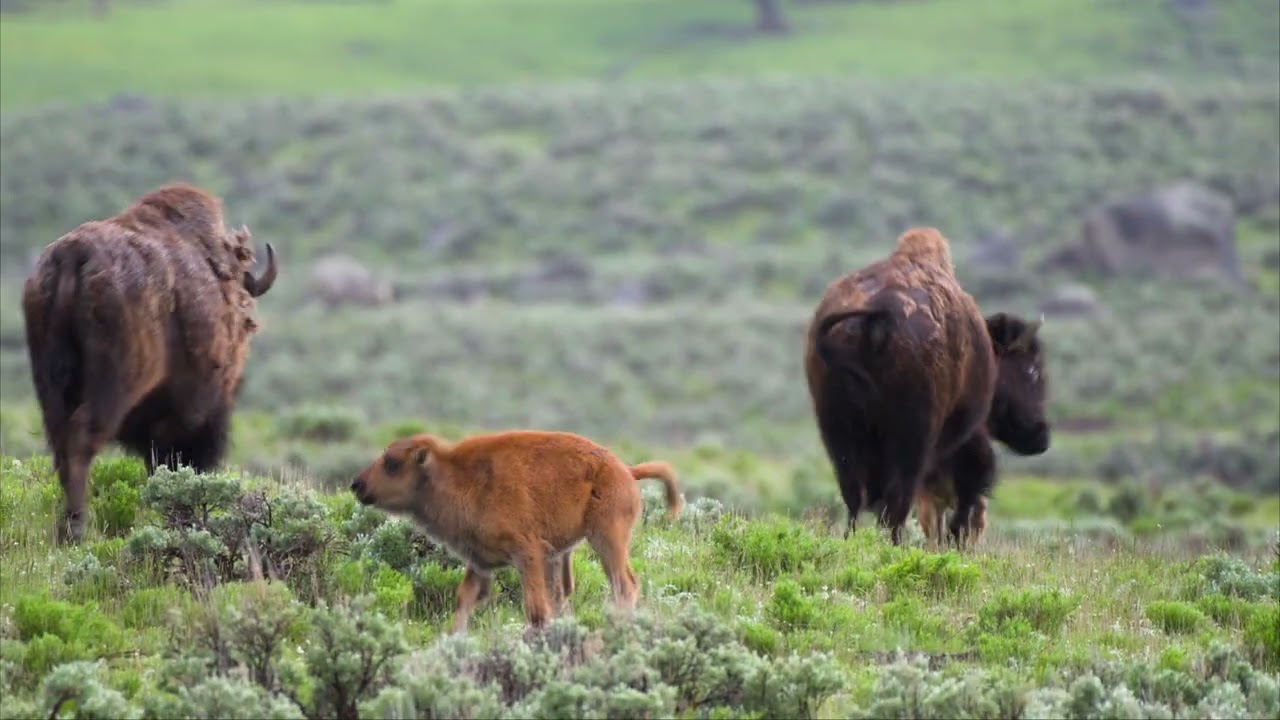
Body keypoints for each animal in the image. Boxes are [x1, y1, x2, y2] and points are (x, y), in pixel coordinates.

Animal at [21, 183, 278, 543]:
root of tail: (74, 255)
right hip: (117, 387)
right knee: (81, 439)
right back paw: (77, 529)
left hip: (51, 389)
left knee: (61, 444)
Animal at [804, 227, 1050, 545]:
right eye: (1032, 370)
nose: (1041, 435)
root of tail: (874, 317)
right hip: (912, 437)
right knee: (898, 502)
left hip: (838, 432)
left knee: (856, 498)